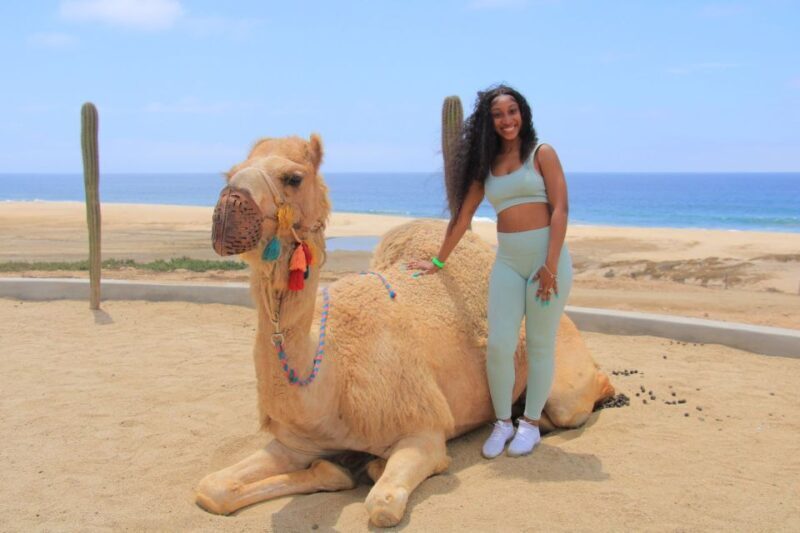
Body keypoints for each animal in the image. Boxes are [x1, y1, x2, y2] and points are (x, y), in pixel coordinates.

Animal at [196, 134, 614, 527]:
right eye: (230, 173)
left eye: (293, 177)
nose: (228, 208)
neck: (332, 374)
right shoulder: (297, 443)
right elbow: (210, 489)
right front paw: (337, 470)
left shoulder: (424, 430)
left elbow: (382, 505)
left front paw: (365, 469)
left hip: (562, 370)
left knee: (569, 403)